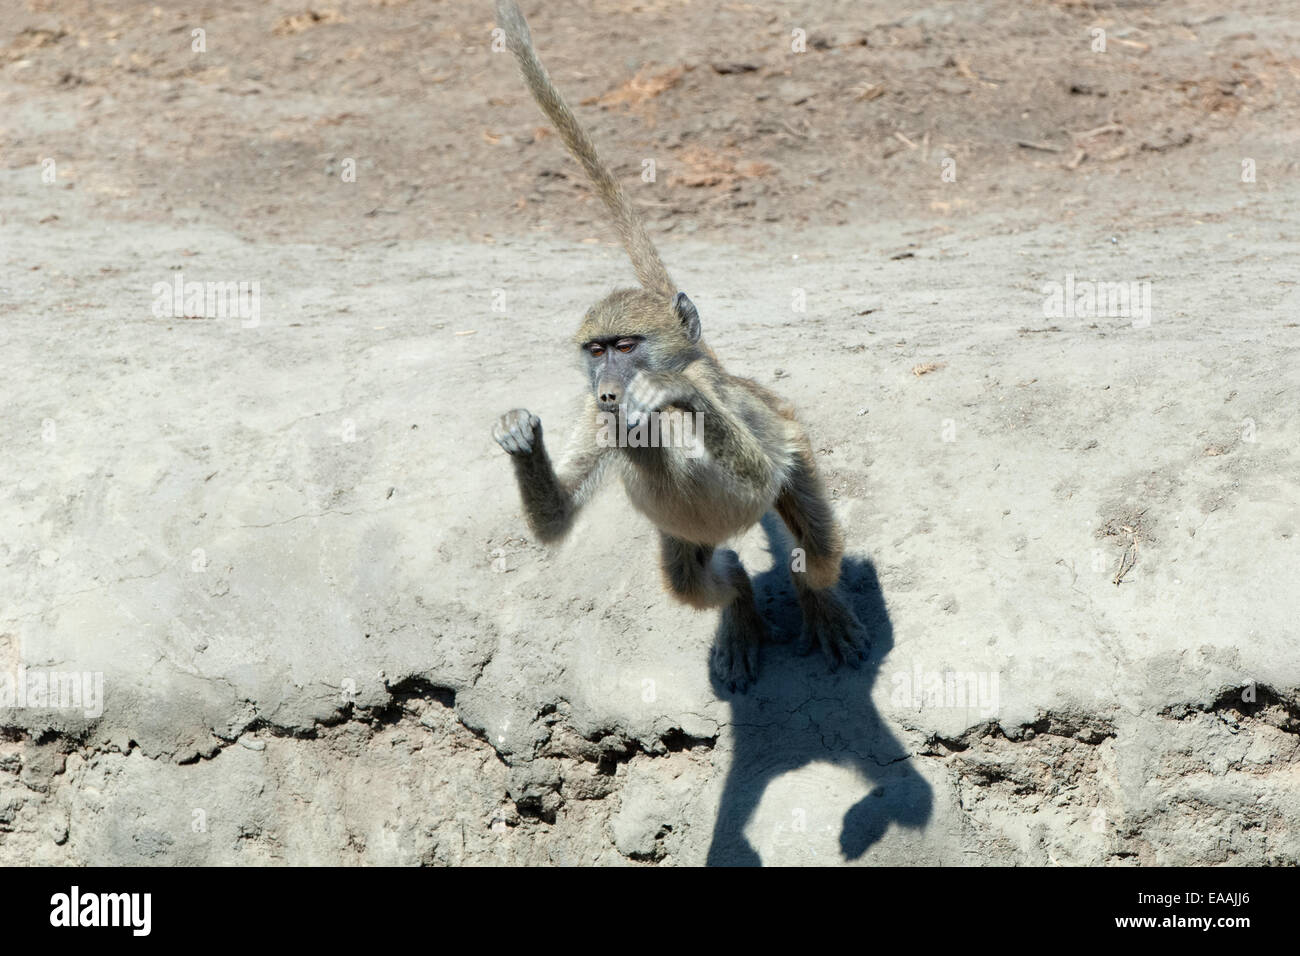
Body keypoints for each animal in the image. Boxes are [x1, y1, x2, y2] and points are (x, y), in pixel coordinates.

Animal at [490, 0, 869, 692]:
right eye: (596, 351)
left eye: (627, 345)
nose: (610, 392)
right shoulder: (593, 418)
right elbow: (557, 519)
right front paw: (520, 435)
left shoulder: (722, 400)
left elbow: (756, 466)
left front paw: (671, 392)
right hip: (685, 544)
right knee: (697, 579)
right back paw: (738, 604)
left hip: (796, 458)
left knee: (816, 547)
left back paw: (819, 601)